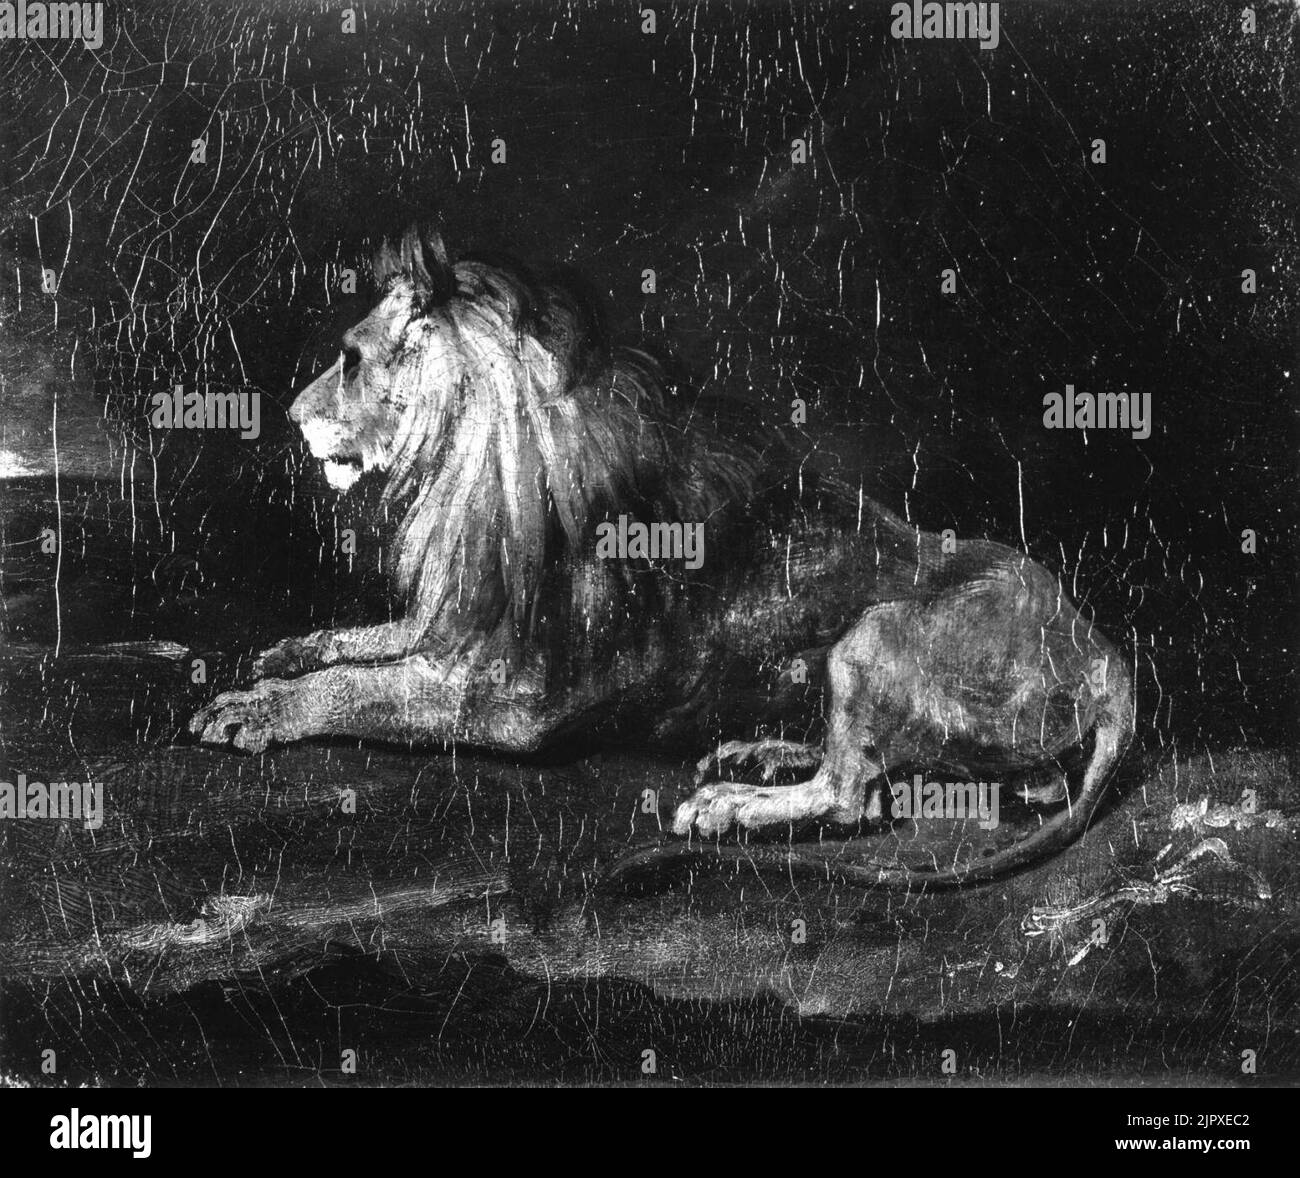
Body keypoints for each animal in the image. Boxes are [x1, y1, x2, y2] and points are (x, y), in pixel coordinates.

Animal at [191, 224, 1134, 888]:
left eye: (349, 361)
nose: (288, 413)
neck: (464, 474)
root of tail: (1107, 658)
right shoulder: (451, 626)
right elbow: (363, 642)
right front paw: (282, 655)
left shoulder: (519, 701)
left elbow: (360, 688)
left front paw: (258, 709)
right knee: (900, 773)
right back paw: (765, 751)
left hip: (875, 637)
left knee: (851, 796)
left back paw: (734, 804)